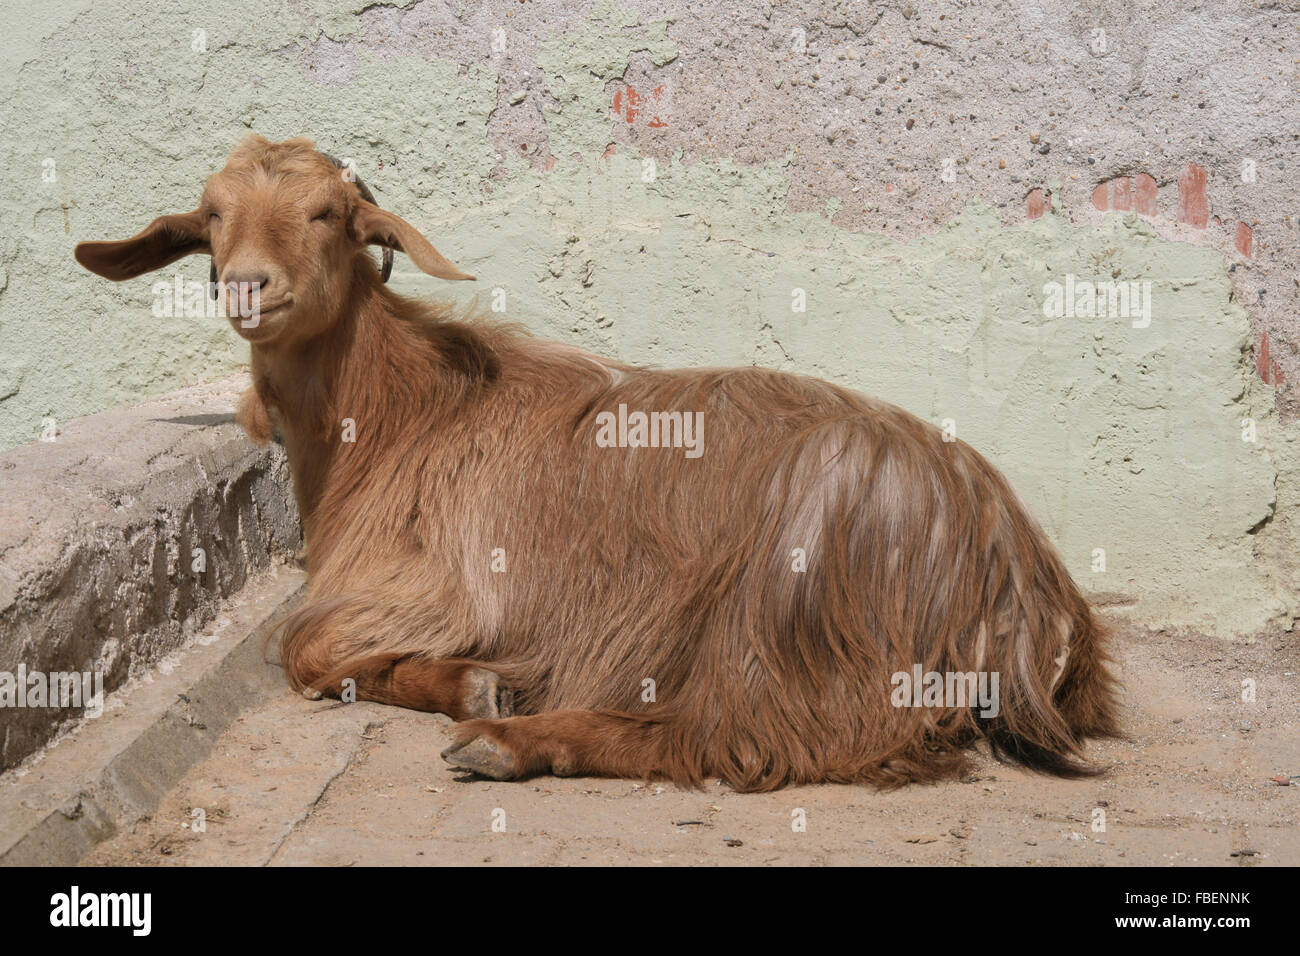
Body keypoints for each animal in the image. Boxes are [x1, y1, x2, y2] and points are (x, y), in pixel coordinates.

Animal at [74, 135, 1120, 791]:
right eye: (211, 216)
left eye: (329, 213)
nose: (250, 287)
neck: (401, 415)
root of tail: (1016, 564)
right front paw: (475, 680)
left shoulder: (430, 586)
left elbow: (306, 653)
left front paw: (471, 684)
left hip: (781, 620)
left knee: (748, 738)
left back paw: (508, 741)